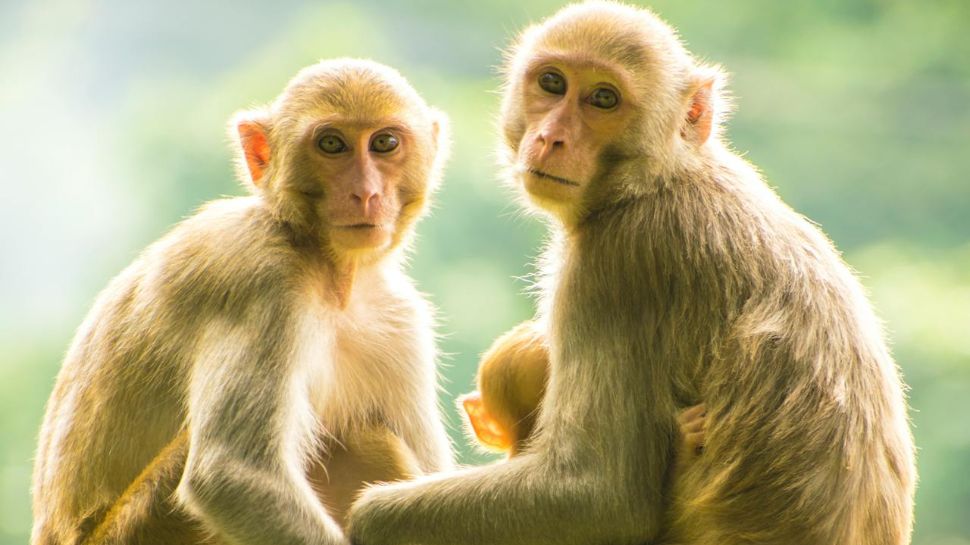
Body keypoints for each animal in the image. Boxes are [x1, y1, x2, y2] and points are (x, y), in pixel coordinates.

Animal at [30, 58, 454, 545]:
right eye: (332, 144)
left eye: (384, 143)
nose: (366, 193)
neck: (327, 270)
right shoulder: (259, 277)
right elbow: (230, 474)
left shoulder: (400, 319)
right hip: (139, 528)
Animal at [347, 3, 916, 545]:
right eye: (552, 83)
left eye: (603, 99)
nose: (551, 138)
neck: (658, 178)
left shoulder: (617, 265)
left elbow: (598, 495)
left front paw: (367, 519)